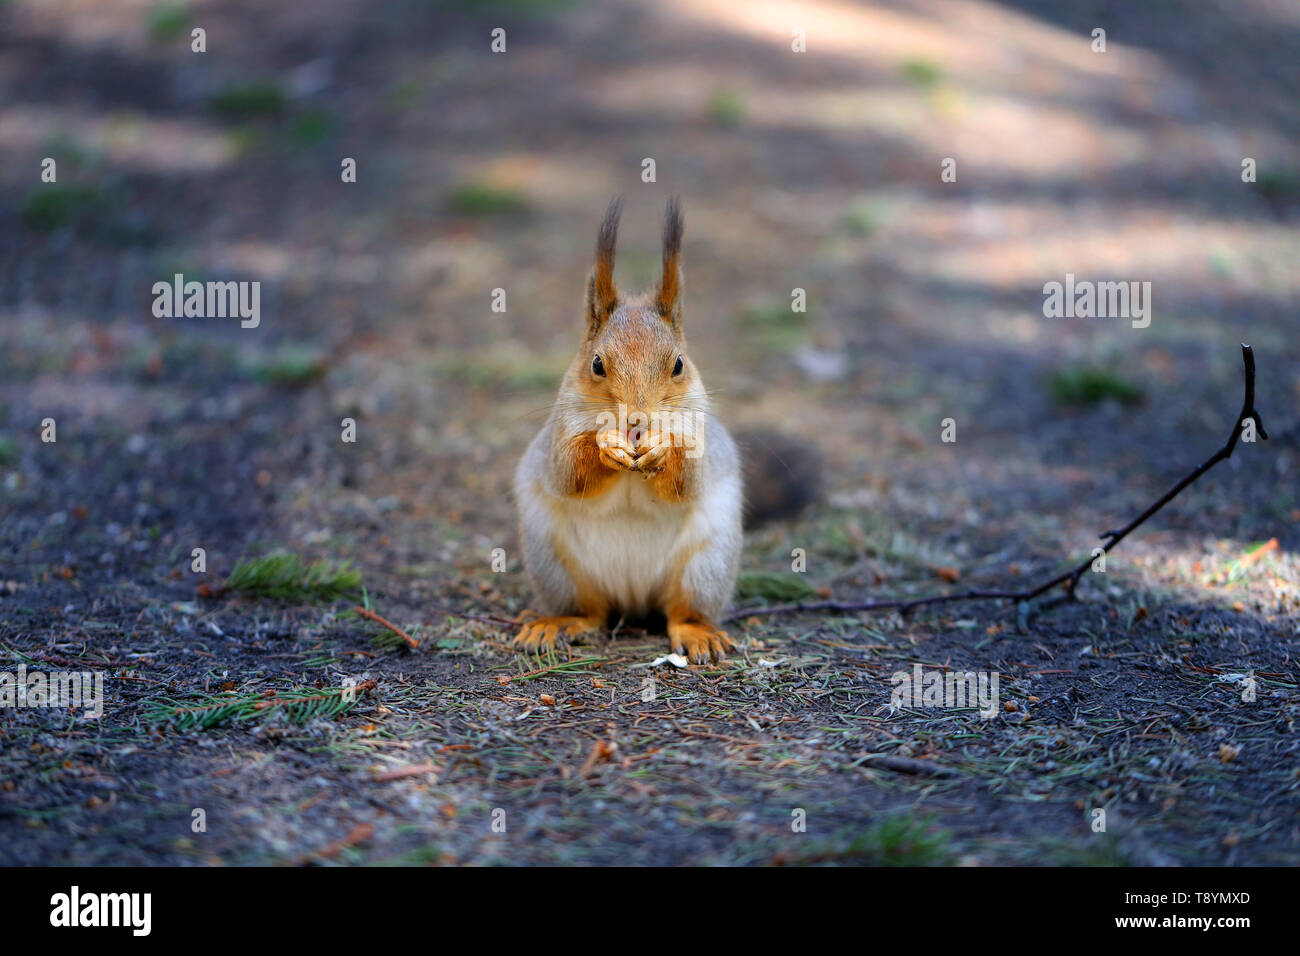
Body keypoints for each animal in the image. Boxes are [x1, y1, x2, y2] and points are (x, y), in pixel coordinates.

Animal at [513, 198, 815, 663]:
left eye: (678, 364)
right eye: (596, 363)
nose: (637, 420)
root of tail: (632, 598)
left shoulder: (702, 437)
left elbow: (688, 479)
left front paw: (662, 449)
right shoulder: (559, 433)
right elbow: (567, 472)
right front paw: (605, 446)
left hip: (706, 563)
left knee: (680, 612)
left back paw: (699, 634)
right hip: (553, 559)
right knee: (591, 612)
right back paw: (559, 623)